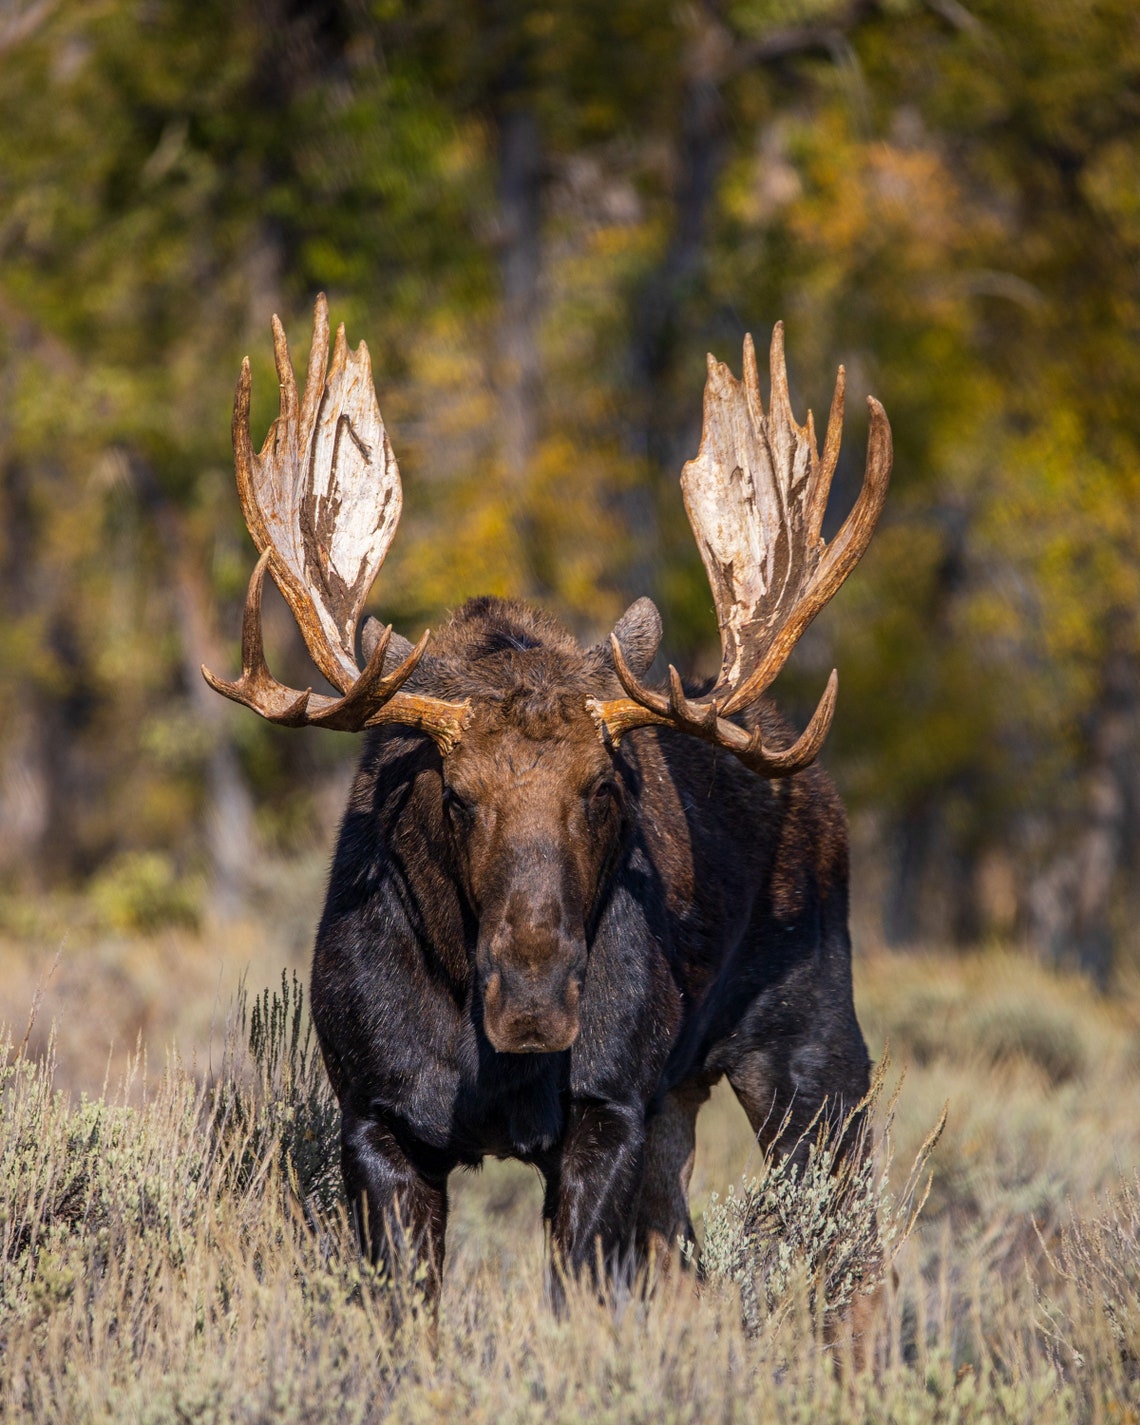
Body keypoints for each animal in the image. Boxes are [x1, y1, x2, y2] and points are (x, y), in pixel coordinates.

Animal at [203, 294, 891, 1307]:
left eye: (603, 786)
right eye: (455, 795)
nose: (534, 997)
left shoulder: (607, 1108)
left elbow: (581, 1298)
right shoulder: (375, 1117)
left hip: (811, 1050)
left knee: (855, 1257)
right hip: (680, 1102)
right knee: (686, 1254)